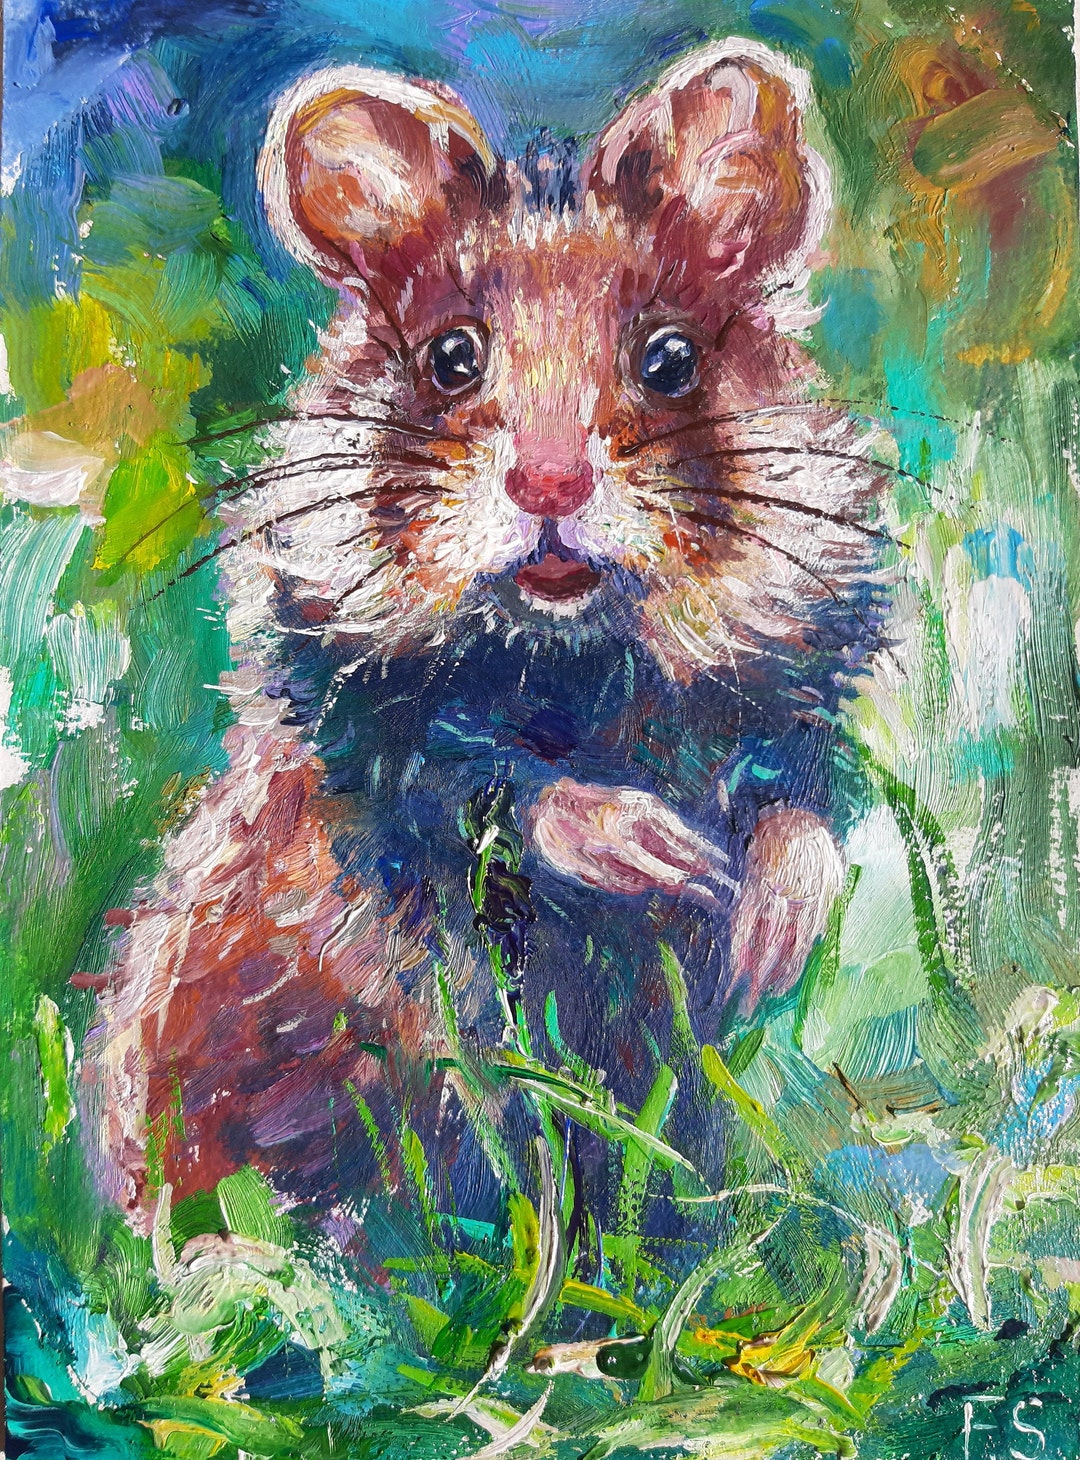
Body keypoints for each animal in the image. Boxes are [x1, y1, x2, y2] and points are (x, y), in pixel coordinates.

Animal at [89, 40, 889, 1228]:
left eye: (670, 358)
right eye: (451, 356)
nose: (549, 484)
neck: (572, 656)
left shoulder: (793, 693)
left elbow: (802, 809)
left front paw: (760, 938)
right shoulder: (366, 732)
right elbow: (485, 788)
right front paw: (656, 851)